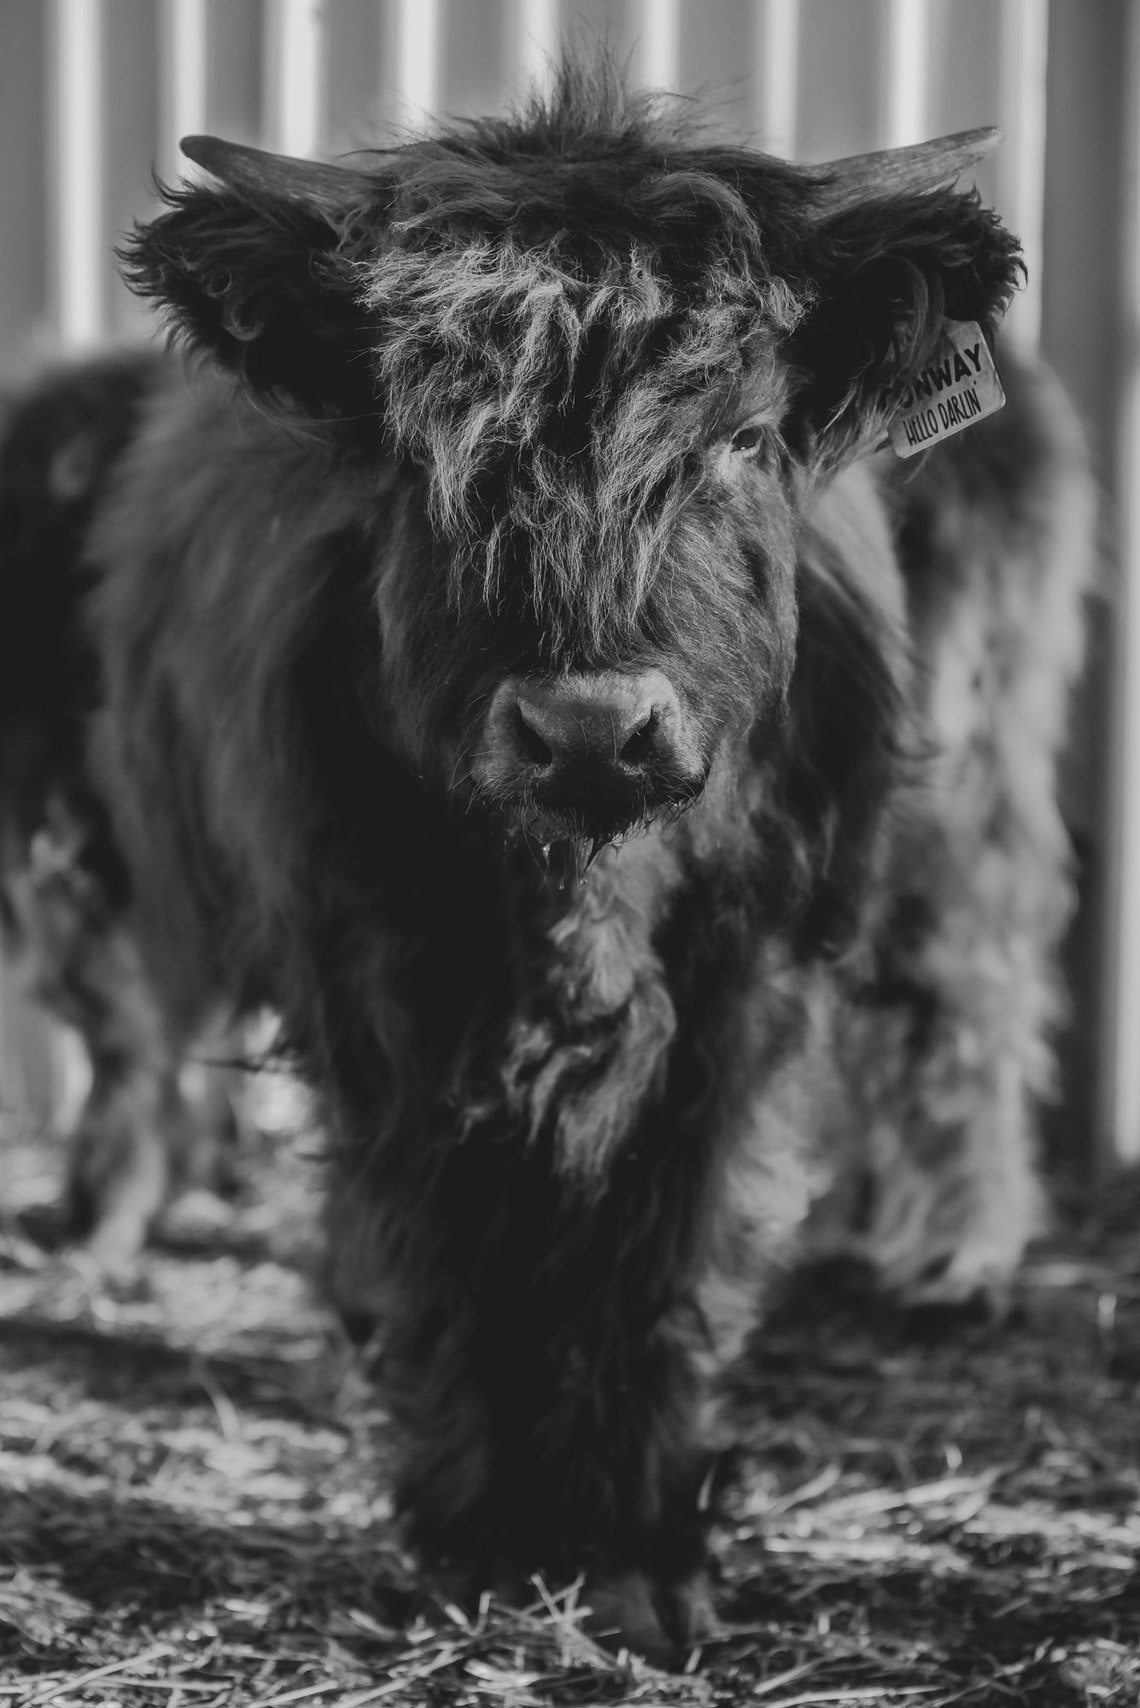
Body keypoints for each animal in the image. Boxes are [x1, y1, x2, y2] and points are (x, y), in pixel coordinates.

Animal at [0, 62, 1093, 1662]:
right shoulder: (371, 969)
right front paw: (490, 1543)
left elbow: (657, 1252)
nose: (591, 730)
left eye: (742, 440)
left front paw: (633, 1558)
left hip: (969, 796)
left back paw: (952, 1269)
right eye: (423, 453)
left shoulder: (740, 976)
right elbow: (447, 1242)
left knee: (966, 988)